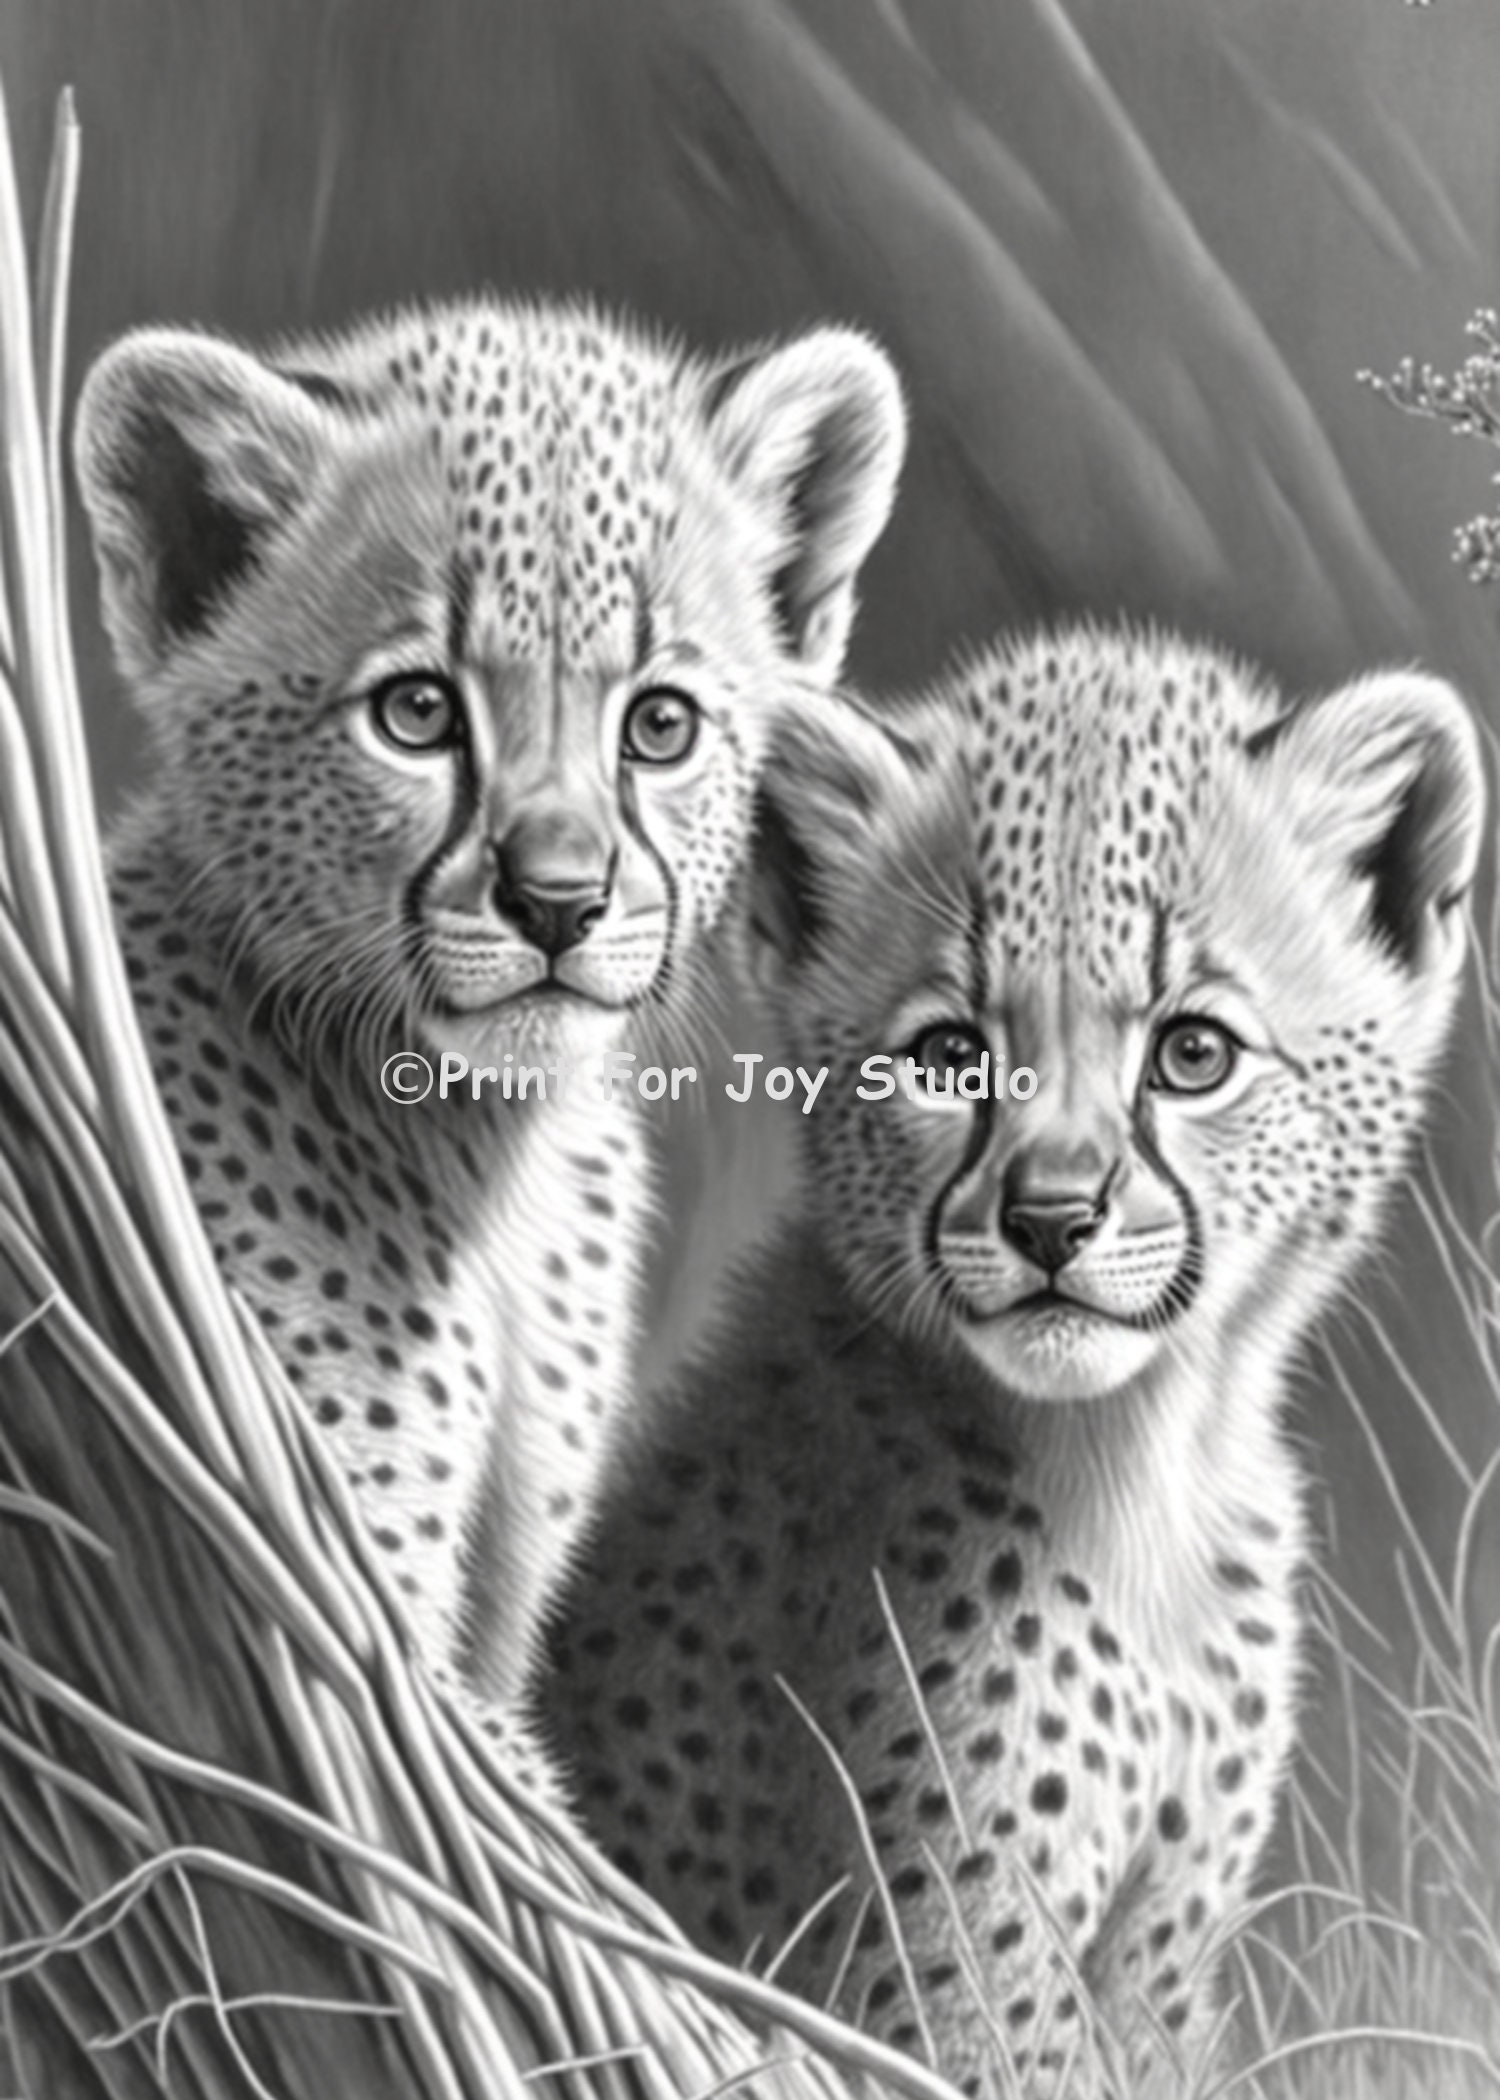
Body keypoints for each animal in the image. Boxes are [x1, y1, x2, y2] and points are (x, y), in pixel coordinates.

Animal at [75, 294, 906, 1775]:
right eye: (417, 711)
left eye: (660, 724)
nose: (560, 901)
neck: (485, 1150)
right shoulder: (349, 1605)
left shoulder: (493, 1623)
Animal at [542, 624, 1483, 2091]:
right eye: (948, 1055)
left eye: (1193, 1052)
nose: (1050, 1219)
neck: (1149, 1462)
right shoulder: (936, 1970)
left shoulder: (1160, 1961)